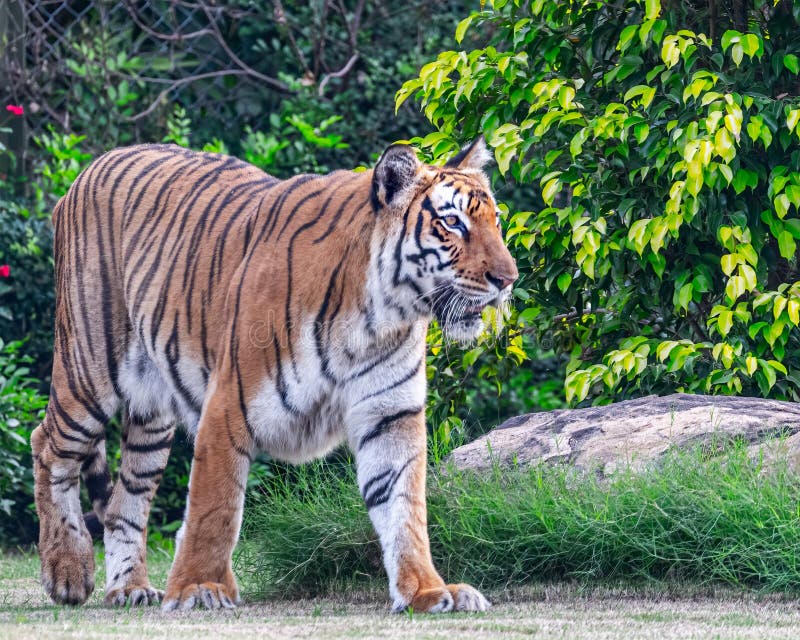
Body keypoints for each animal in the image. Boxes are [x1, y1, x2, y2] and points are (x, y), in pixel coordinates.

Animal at [31, 136, 518, 613]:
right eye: (452, 223)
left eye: (495, 221)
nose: (508, 279)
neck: (379, 317)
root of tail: (91, 166)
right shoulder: (228, 405)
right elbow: (215, 506)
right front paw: (198, 588)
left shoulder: (390, 415)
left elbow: (405, 508)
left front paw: (427, 591)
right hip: (89, 369)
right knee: (49, 445)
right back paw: (68, 572)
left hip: (151, 412)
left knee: (123, 501)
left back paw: (129, 588)